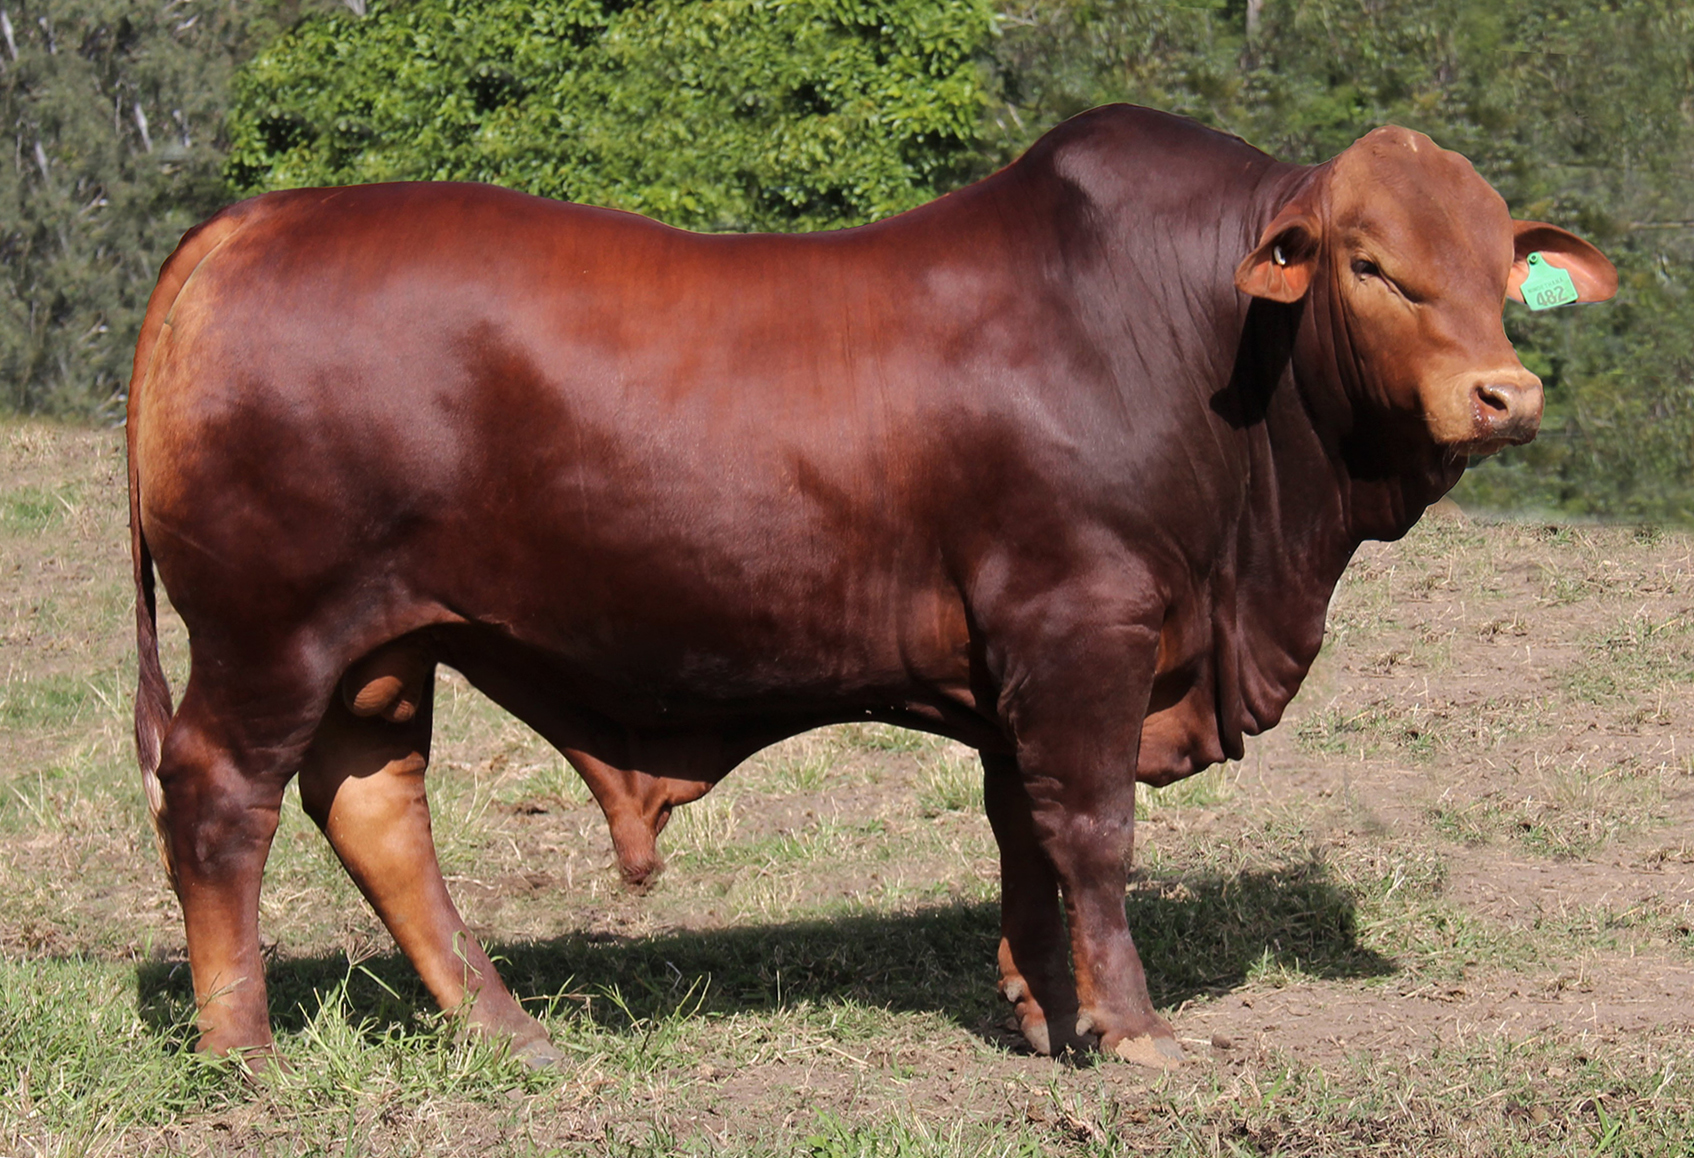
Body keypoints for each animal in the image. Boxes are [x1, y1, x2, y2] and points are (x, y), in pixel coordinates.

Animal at [127, 104, 1615, 1070]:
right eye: (1369, 262)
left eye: (1502, 266)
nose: (1506, 394)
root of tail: (243, 227)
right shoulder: (1087, 624)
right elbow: (1091, 831)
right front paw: (1134, 1032)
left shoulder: (1026, 658)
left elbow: (1022, 832)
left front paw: (1048, 1013)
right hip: (272, 628)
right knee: (221, 798)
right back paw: (244, 1052)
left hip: (384, 646)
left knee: (373, 803)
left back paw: (509, 1030)